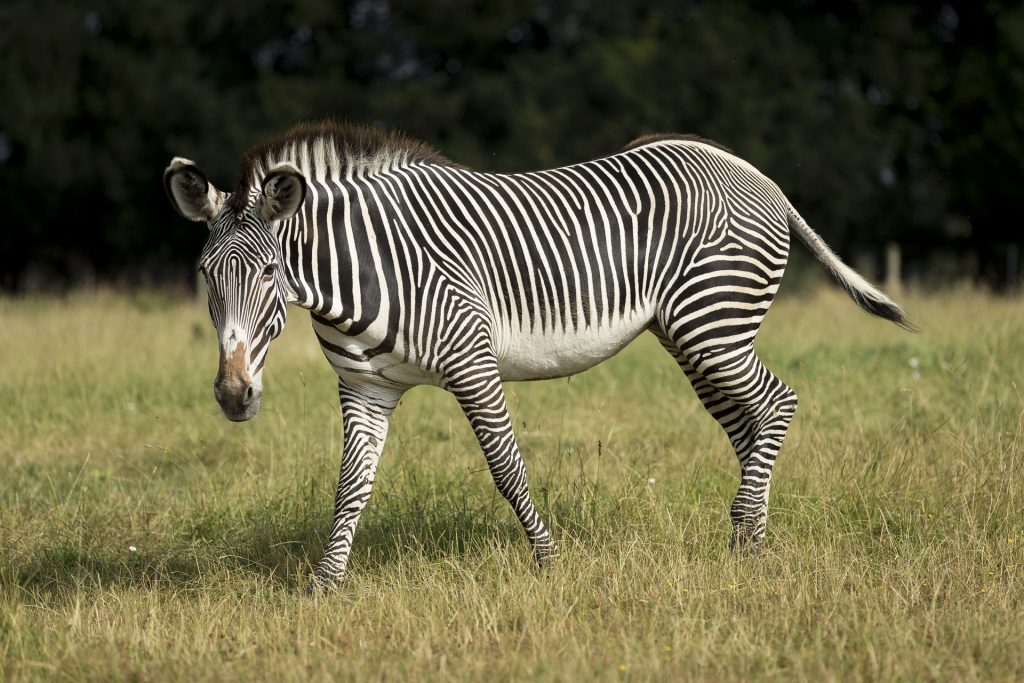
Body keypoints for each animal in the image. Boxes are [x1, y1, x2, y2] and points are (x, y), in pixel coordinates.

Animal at [164, 122, 912, 590]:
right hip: (693, 334)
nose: (233, 396)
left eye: (268, 272)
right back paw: (750, 537)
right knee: (749, 422)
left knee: (778, 401)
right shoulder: (365, 387)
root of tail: (748, 169)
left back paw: (744, 533)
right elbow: (351, 486)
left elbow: (507, 468)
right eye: (204, 275)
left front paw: (548, 561)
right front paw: (325, 585)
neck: (353, 279)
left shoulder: (471, 363)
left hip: (713, 323)